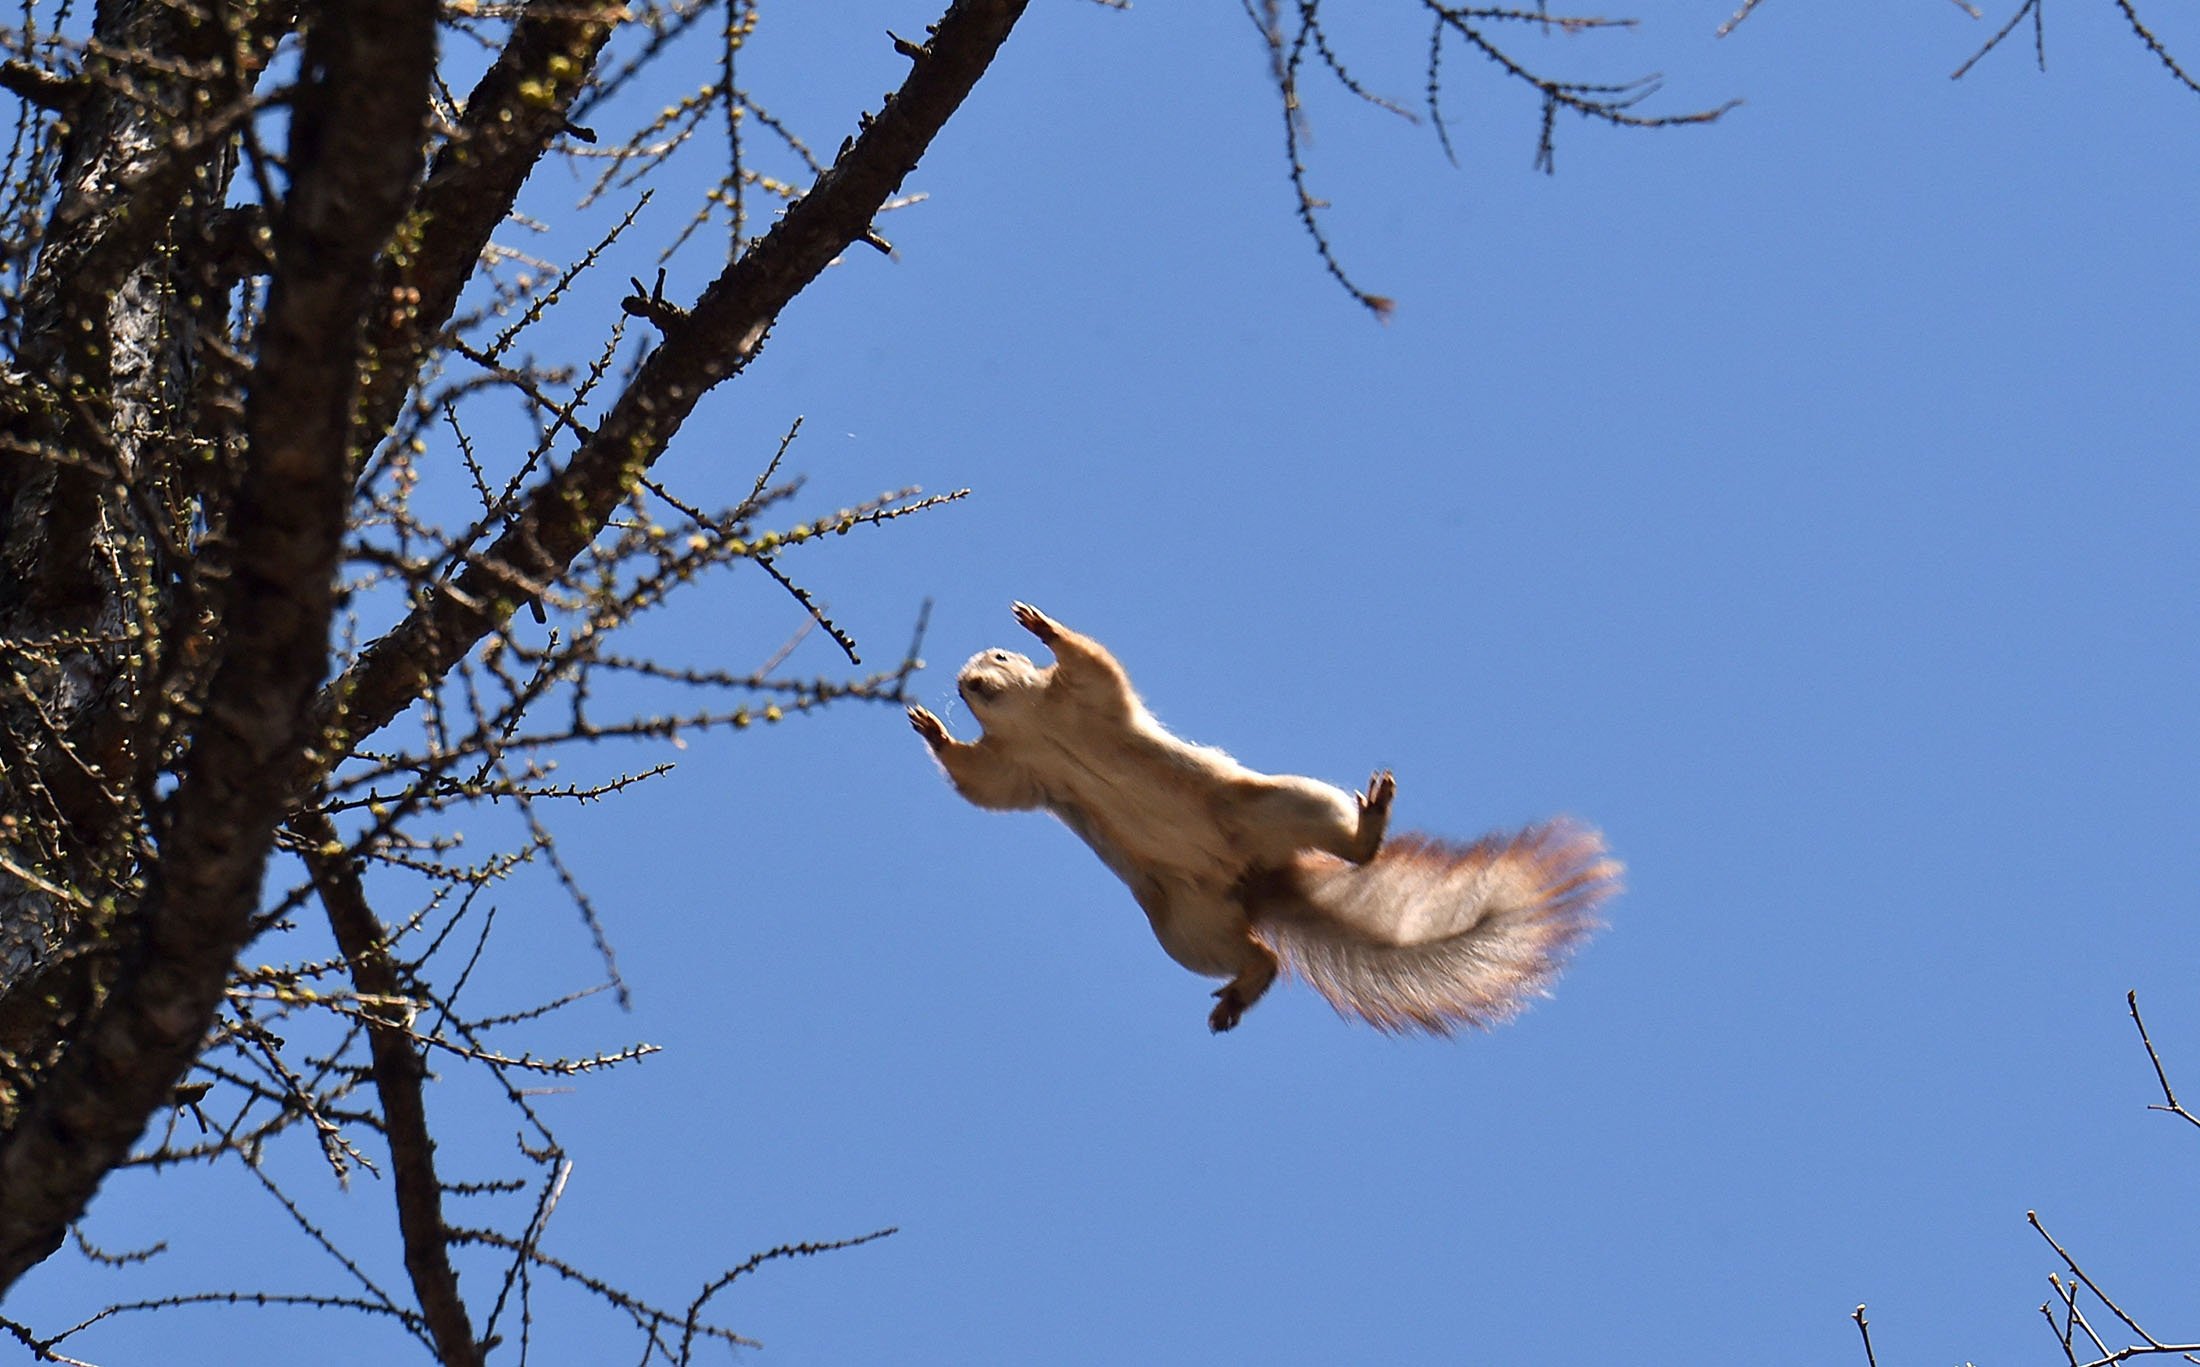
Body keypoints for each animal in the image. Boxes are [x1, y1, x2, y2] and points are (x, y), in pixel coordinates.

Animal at [907, 603, 1621, 1035]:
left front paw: (1042, 626)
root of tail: (1258, 884)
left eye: (999, 658)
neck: (1035, 722)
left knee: (1344, 858)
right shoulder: (1016, 770)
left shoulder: (1086, 694)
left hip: (1282, 804)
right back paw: (1241, 991)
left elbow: (1089, 658)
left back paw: (1370, 821)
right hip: (1188, 930)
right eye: (966, 678)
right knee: (1258, 956)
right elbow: (981, 783)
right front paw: (932, 729)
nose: (970, 684)